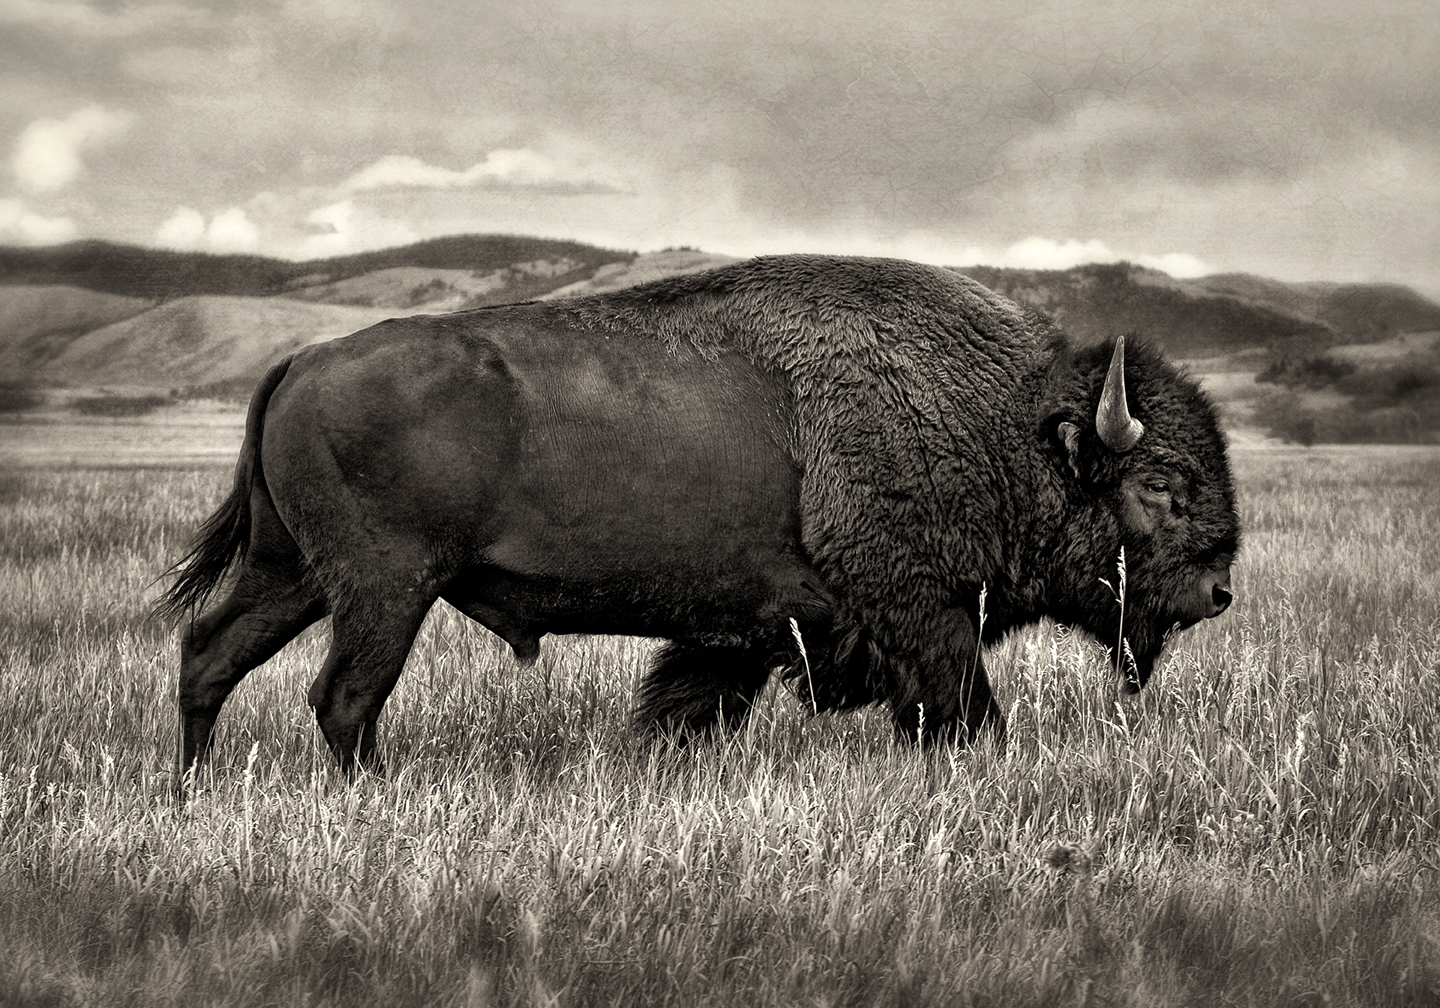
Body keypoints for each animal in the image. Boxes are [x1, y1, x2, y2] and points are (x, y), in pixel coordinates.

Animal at [157, 254, 1239, 776]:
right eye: (1161, 486)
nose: (1220, 589)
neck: (1000, 420)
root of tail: (302, 359)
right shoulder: (925, 617)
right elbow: (967, 714)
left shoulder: (743, 635)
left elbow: (685, 710)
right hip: (385, 586)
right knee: (343, 695)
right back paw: (373, 795)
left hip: (295, 572)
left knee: (210, 651)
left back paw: (194, 786)